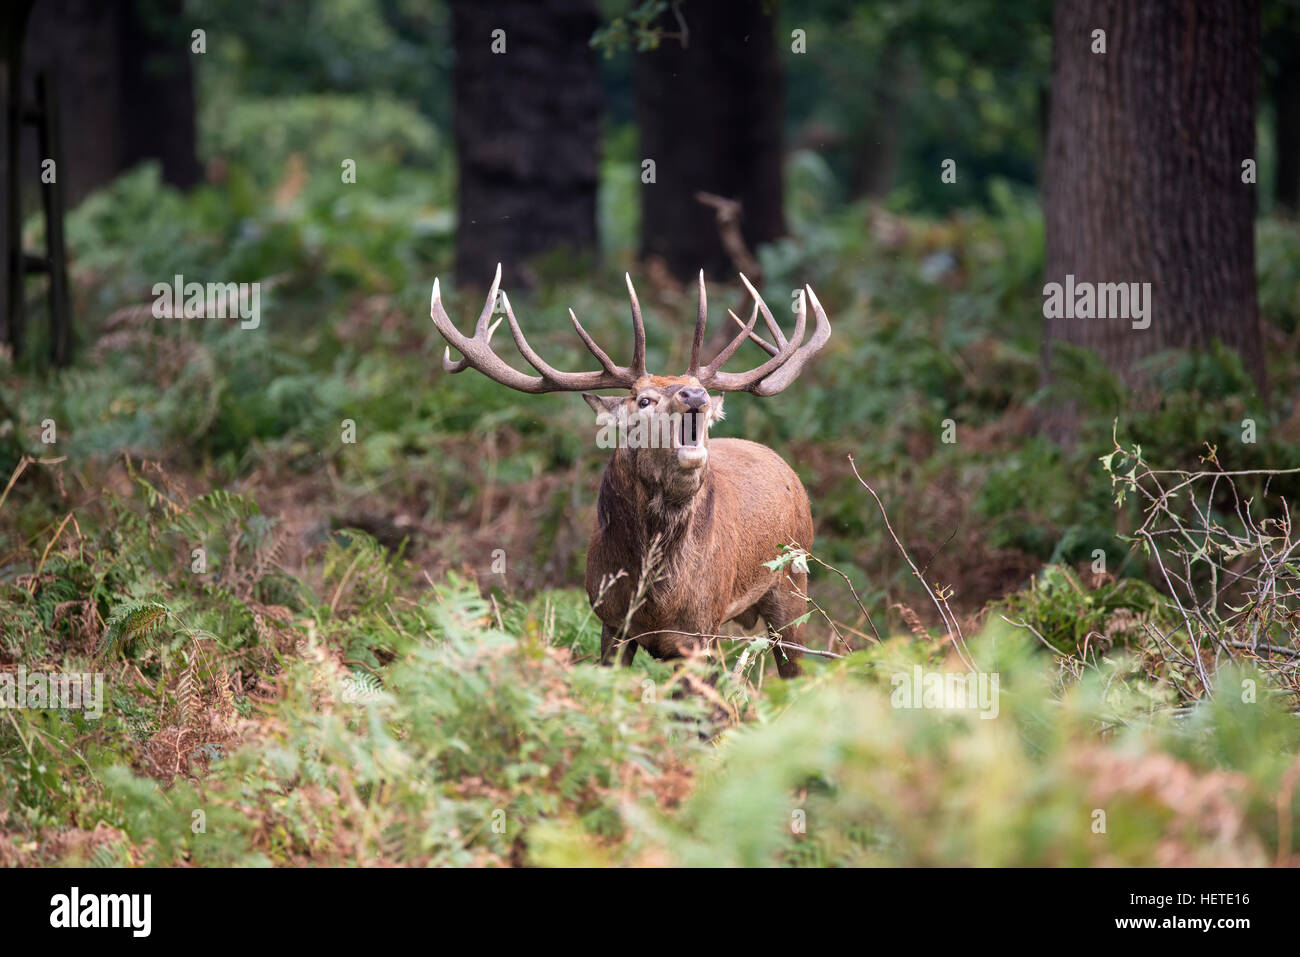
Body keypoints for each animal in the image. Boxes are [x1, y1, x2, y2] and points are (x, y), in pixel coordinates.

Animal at [429, 265, 831, 678]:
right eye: (644, 400)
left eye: (696, 389)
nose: (696, 396)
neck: (656, 596)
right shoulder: (610, 619)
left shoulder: (700, 629)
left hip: (793, 583)